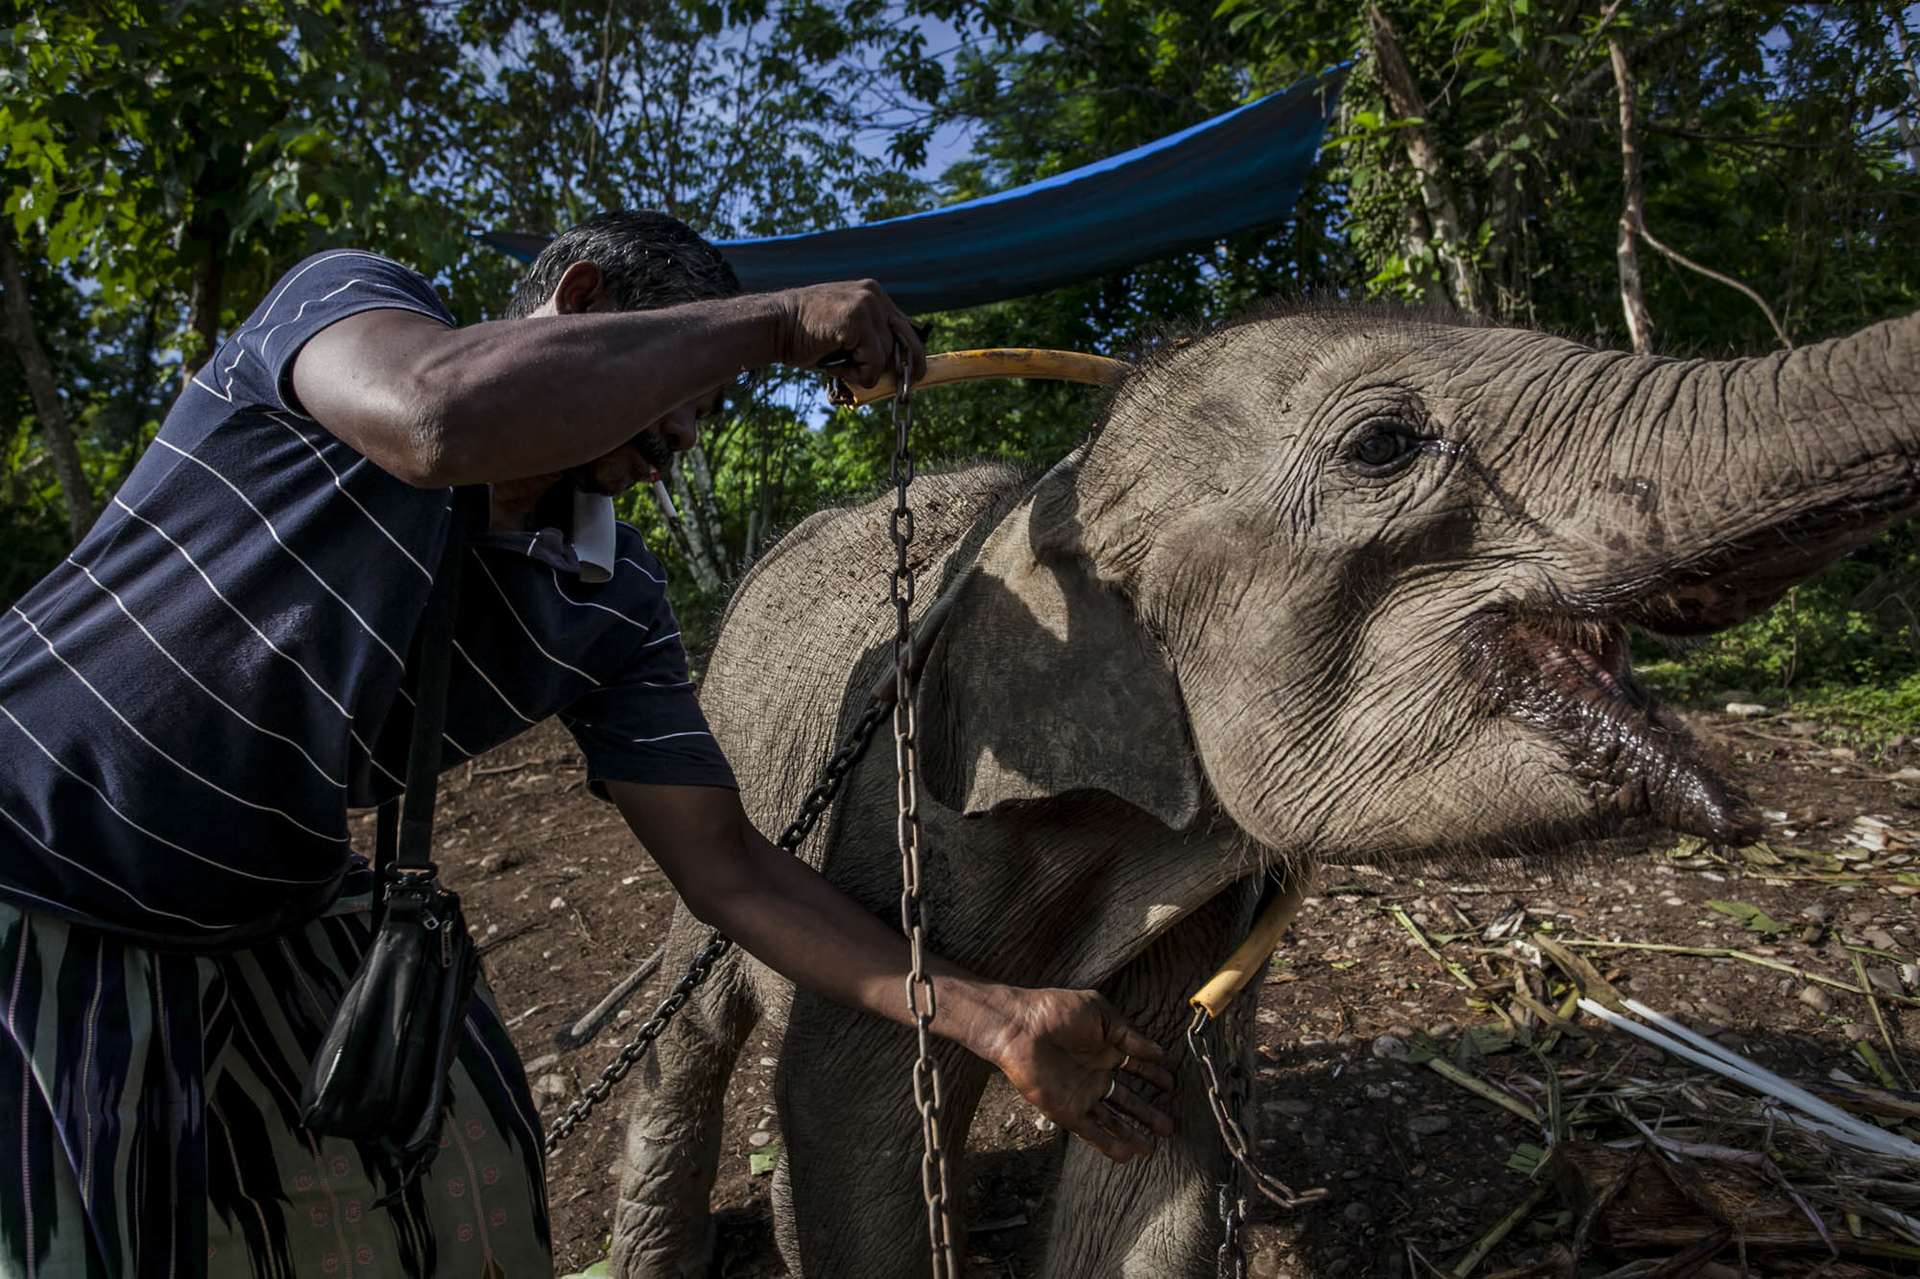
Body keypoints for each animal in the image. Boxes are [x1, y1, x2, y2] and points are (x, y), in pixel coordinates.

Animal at [605, 302, 1920, 1277]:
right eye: (1384, 444)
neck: (1059, 490)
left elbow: (1161, 1167)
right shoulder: (906, 833)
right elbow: (847, 1122)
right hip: (716, 750)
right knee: (692, 1022)